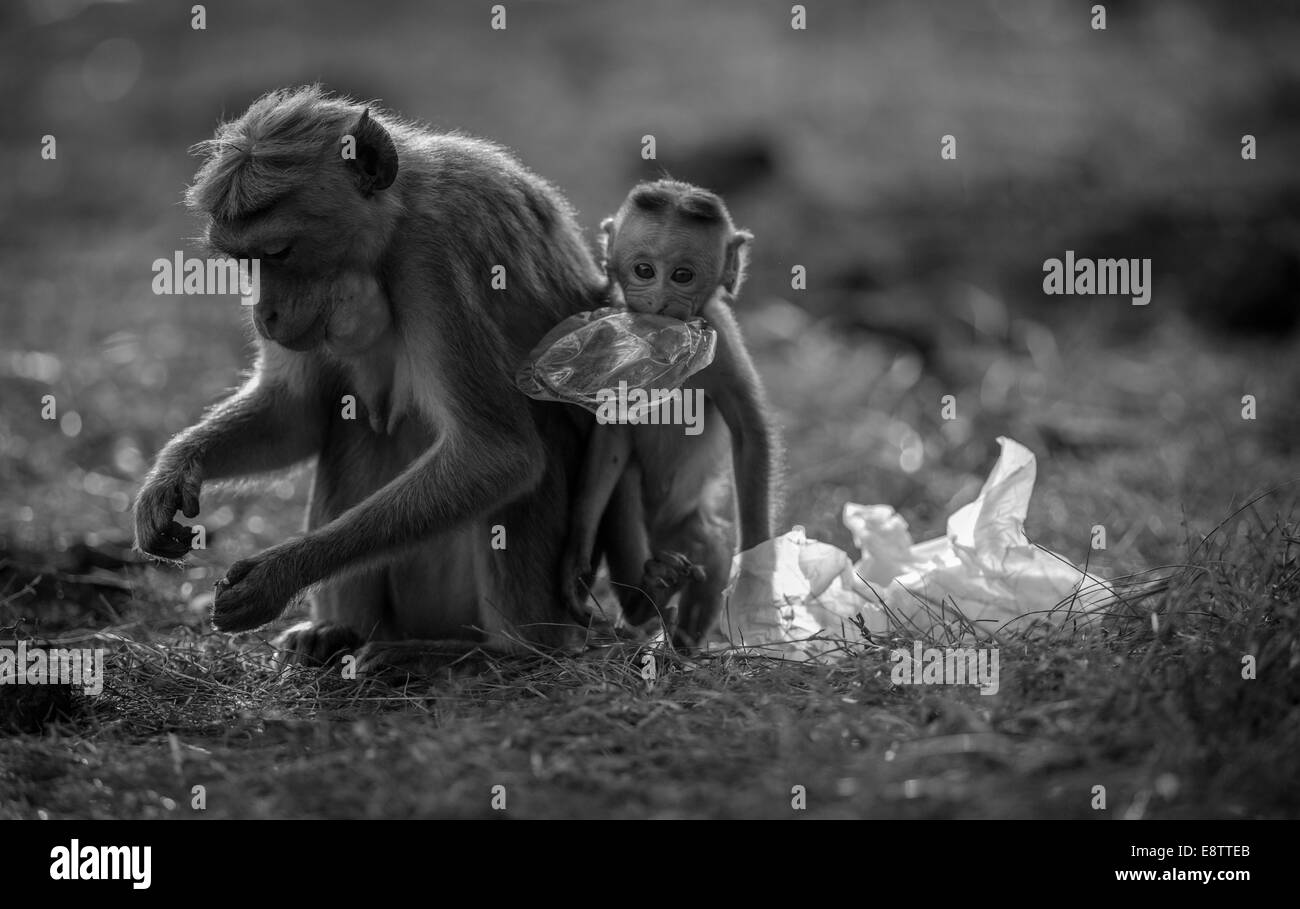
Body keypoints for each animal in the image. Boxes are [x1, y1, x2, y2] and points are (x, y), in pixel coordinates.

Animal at [132, 85, 612, 672]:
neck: (394, 227)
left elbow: (499, 454)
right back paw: (336, 631)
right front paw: (169, 477)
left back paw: (484, 653)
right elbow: (296, 414)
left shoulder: (436, 256)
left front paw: (279, 575)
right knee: (354, 419)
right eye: (245, 260)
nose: (263, 316)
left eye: (277, 252)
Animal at [562, 180, 780, 648]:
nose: (660, 302)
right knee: (624, 483)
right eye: (644, 270)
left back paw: (686, 637)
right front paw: (576, 556)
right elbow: (610, 440)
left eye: (682, 276)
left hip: (688, 525)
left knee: (713, 544)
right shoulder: (614, 344)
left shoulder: (723, 337)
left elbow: (750, 435)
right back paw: (647, 598)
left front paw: (756, 579)